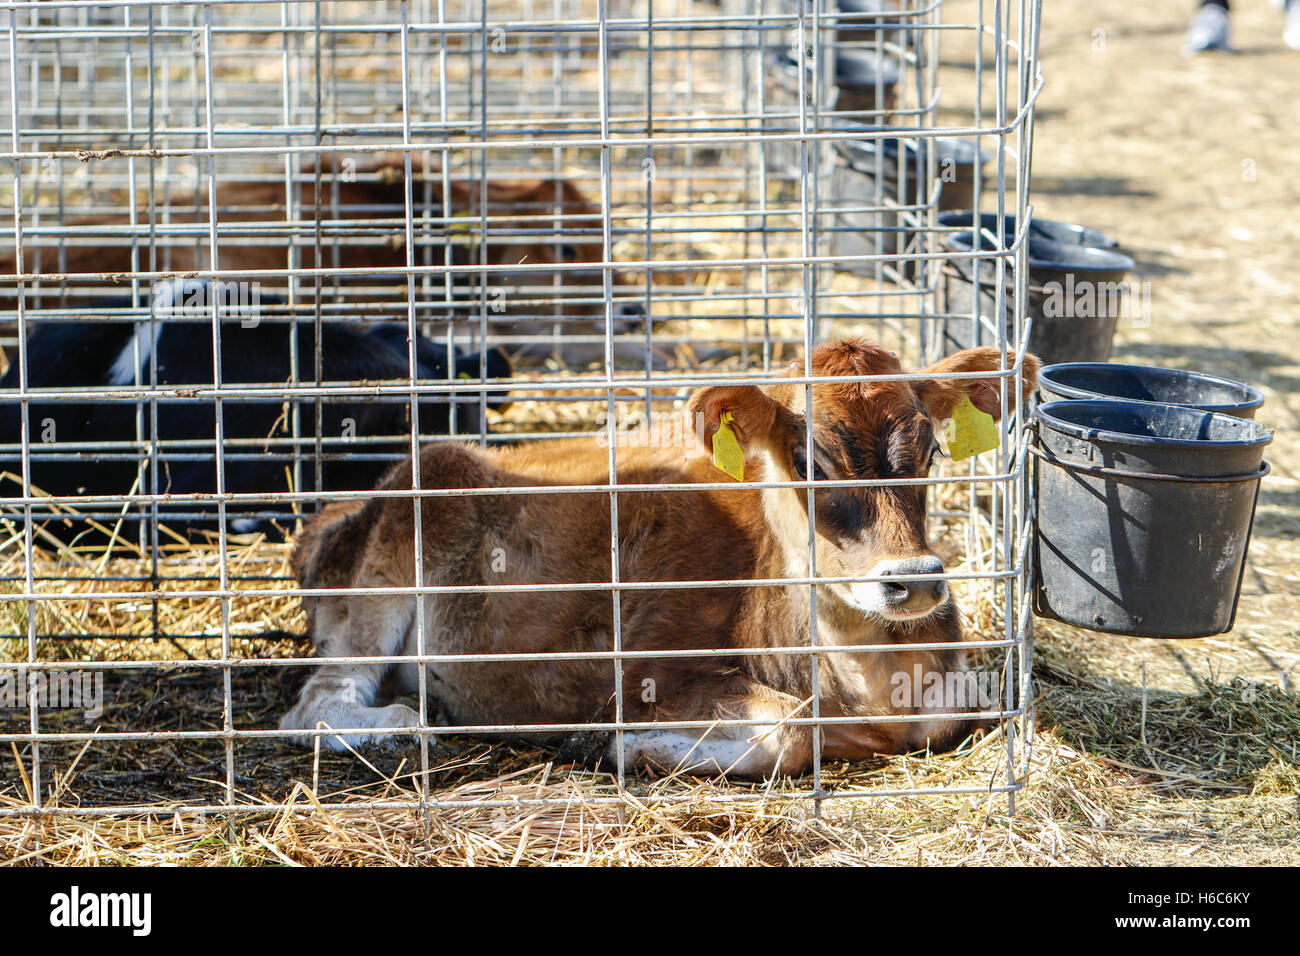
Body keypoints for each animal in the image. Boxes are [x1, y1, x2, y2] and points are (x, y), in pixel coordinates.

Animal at [280, 340, 1038, 778]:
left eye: (932, 450)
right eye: (807, 462)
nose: (915, 581)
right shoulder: (651, 672)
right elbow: (791, 728)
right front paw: (613, 745)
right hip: (407, 528)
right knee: (316, 705)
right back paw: (404, 724)